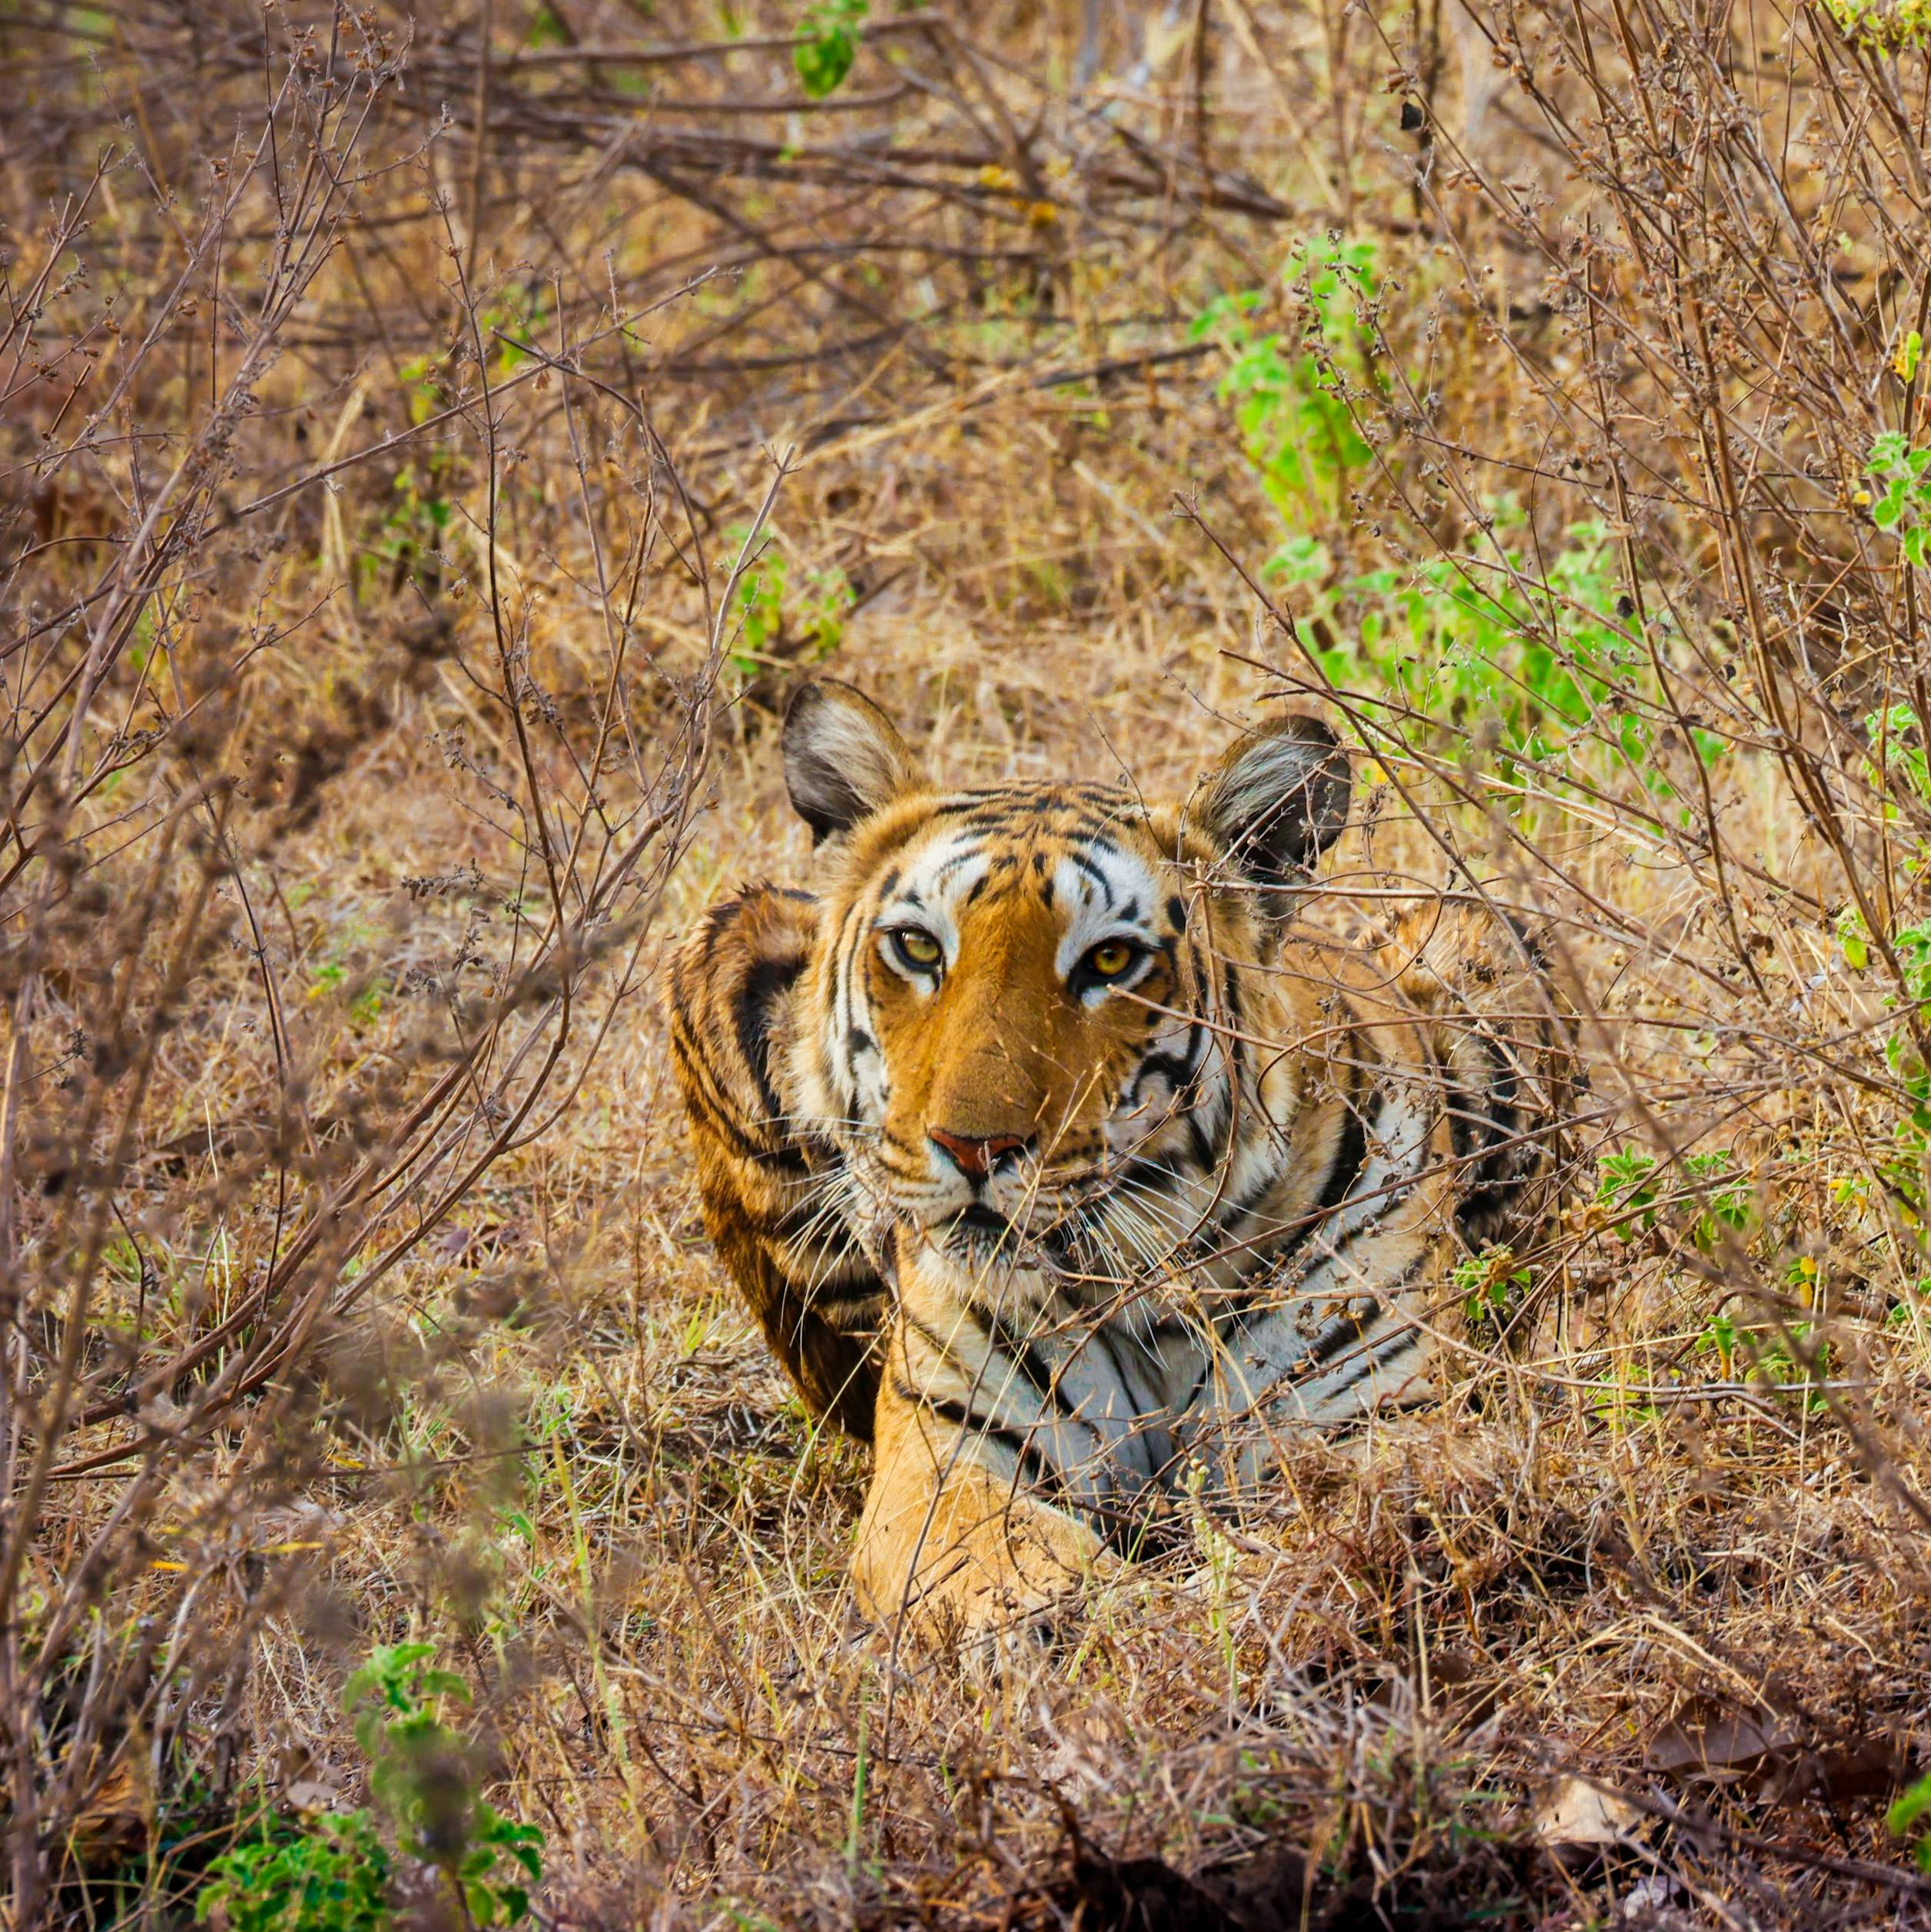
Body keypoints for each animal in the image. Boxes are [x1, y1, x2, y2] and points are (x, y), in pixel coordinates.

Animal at [666, 679, 1576, 1647]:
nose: (972, 1147)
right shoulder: (938, 1461)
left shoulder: (1378, 1429)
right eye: (917, 948)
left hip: (1476, 932)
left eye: (1109, 959)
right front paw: (1094, 1616)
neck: (1152, 1291)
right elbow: (1017, 1565)